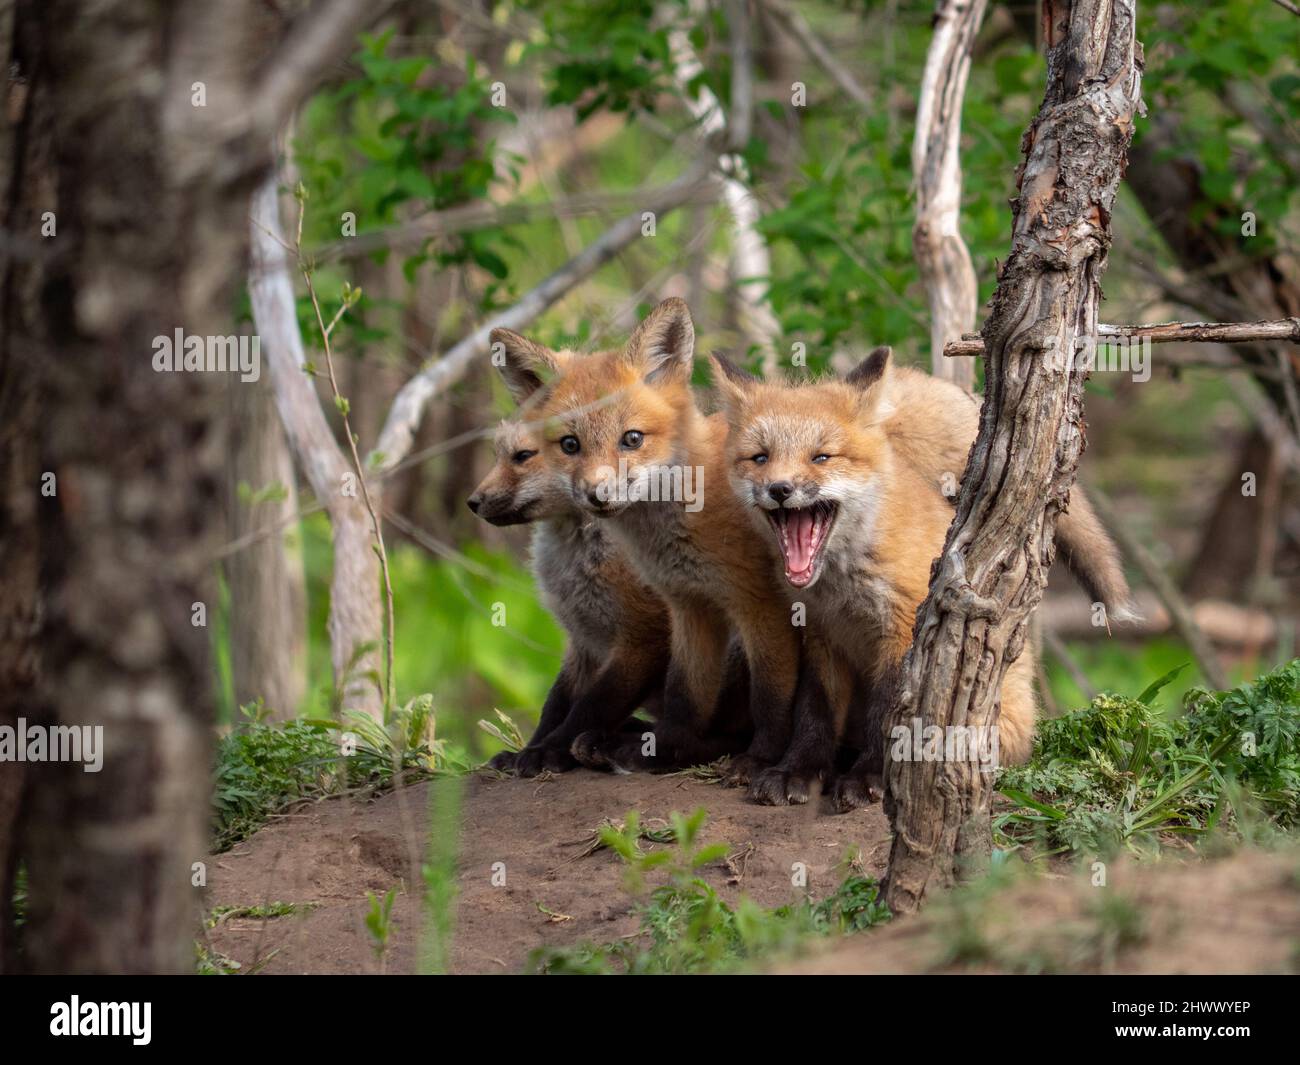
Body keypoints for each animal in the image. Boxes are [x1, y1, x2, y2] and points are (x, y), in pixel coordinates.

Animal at [466, 375, 672, 777]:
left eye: (523, 456)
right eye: (498, 454)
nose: (473, 502)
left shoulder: (643, 637)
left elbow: (588, 708)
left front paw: (546, 753)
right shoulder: (580, 640)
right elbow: (555, 706)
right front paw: (525, 751)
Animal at [712, 346, 1122, 809]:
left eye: (821, 457)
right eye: (760, 458)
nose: (779, 489)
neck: (843, 583)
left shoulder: (905, 624)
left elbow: (889, 712)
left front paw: (869, 777)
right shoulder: (821, 633)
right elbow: (815, 711)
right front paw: (798, 771)